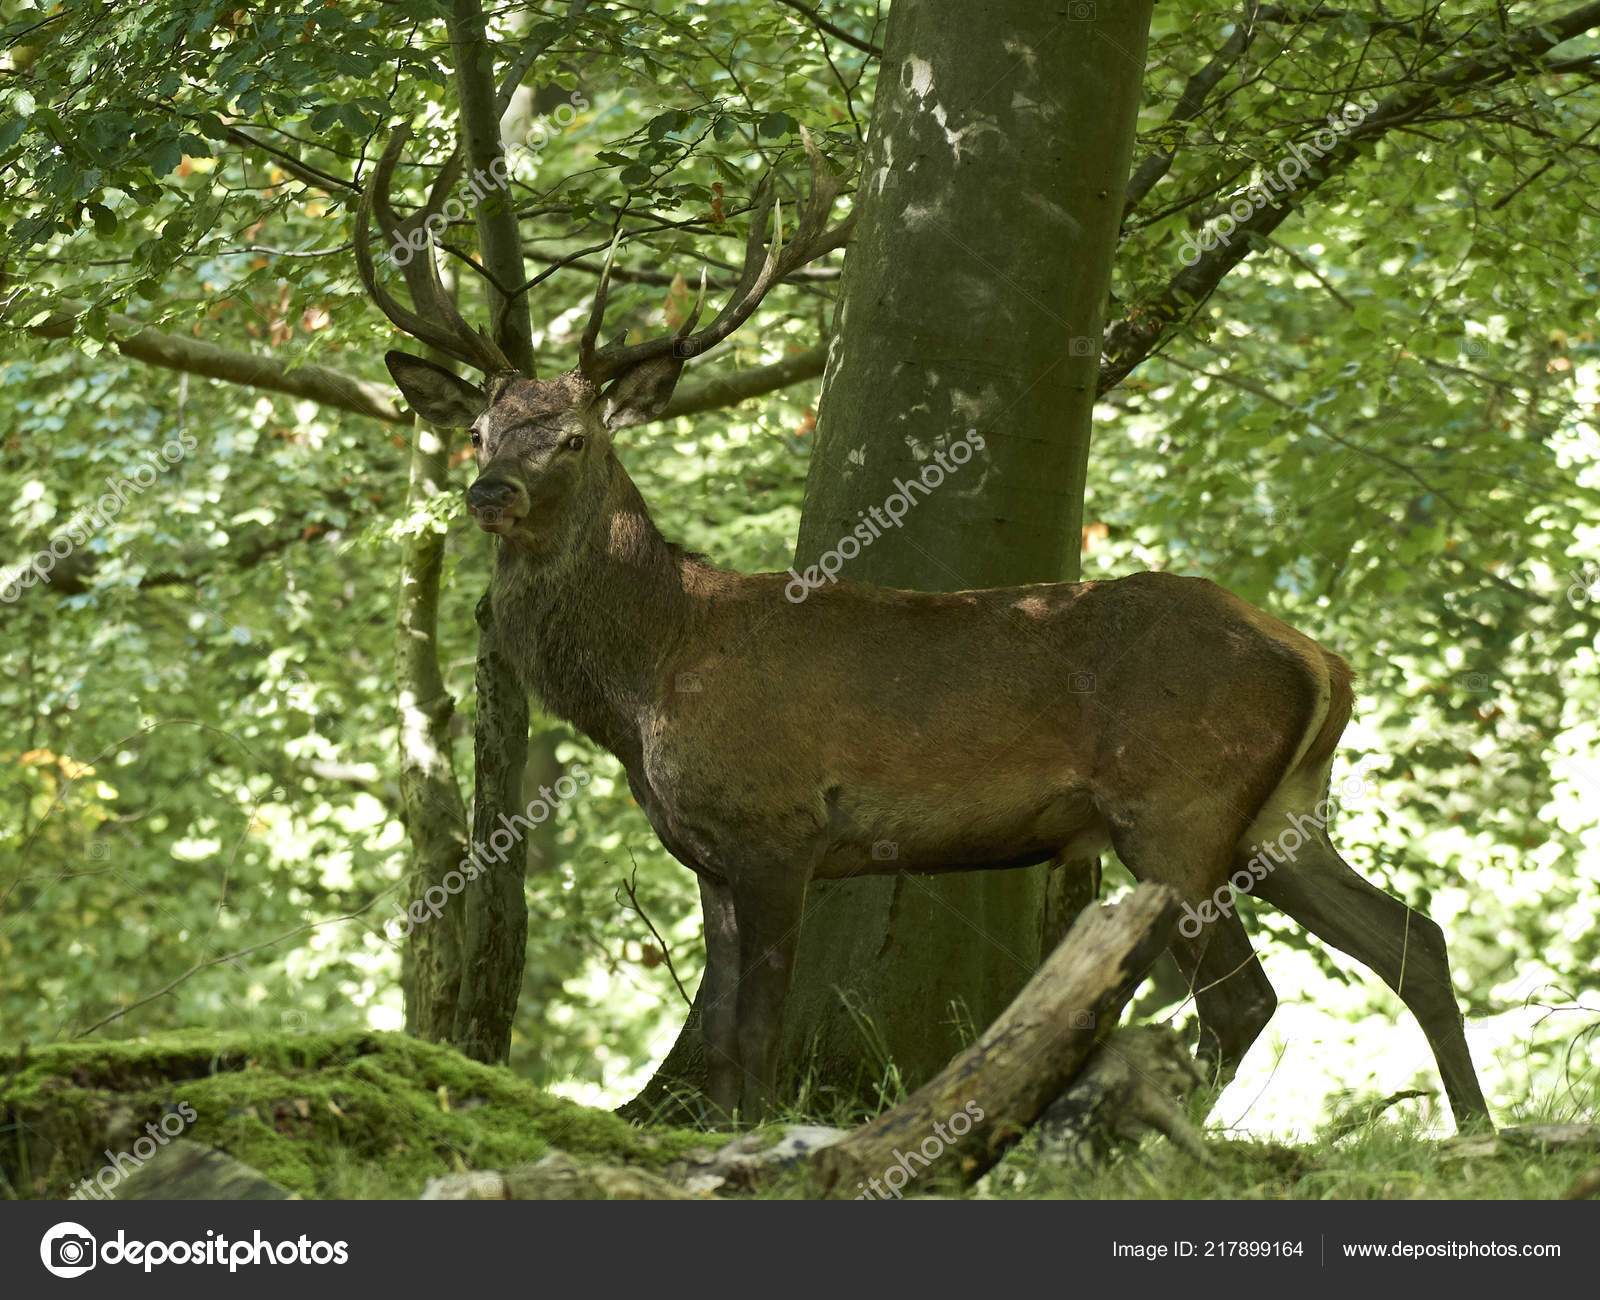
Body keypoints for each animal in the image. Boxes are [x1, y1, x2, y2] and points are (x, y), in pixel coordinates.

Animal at [359, 127, 1491, 1130]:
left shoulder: (781, 824)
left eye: (575, 437)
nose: (489, 491)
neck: (652, 679)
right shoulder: (710, 852)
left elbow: (759, 1029)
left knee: (1245, 998)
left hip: (1179, 803)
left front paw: (757, 1139)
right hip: (1279, 814)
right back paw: (1477, 1129)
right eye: (480, 428)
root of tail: (1320, 657)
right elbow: (717, 1034)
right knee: (1415, 940)